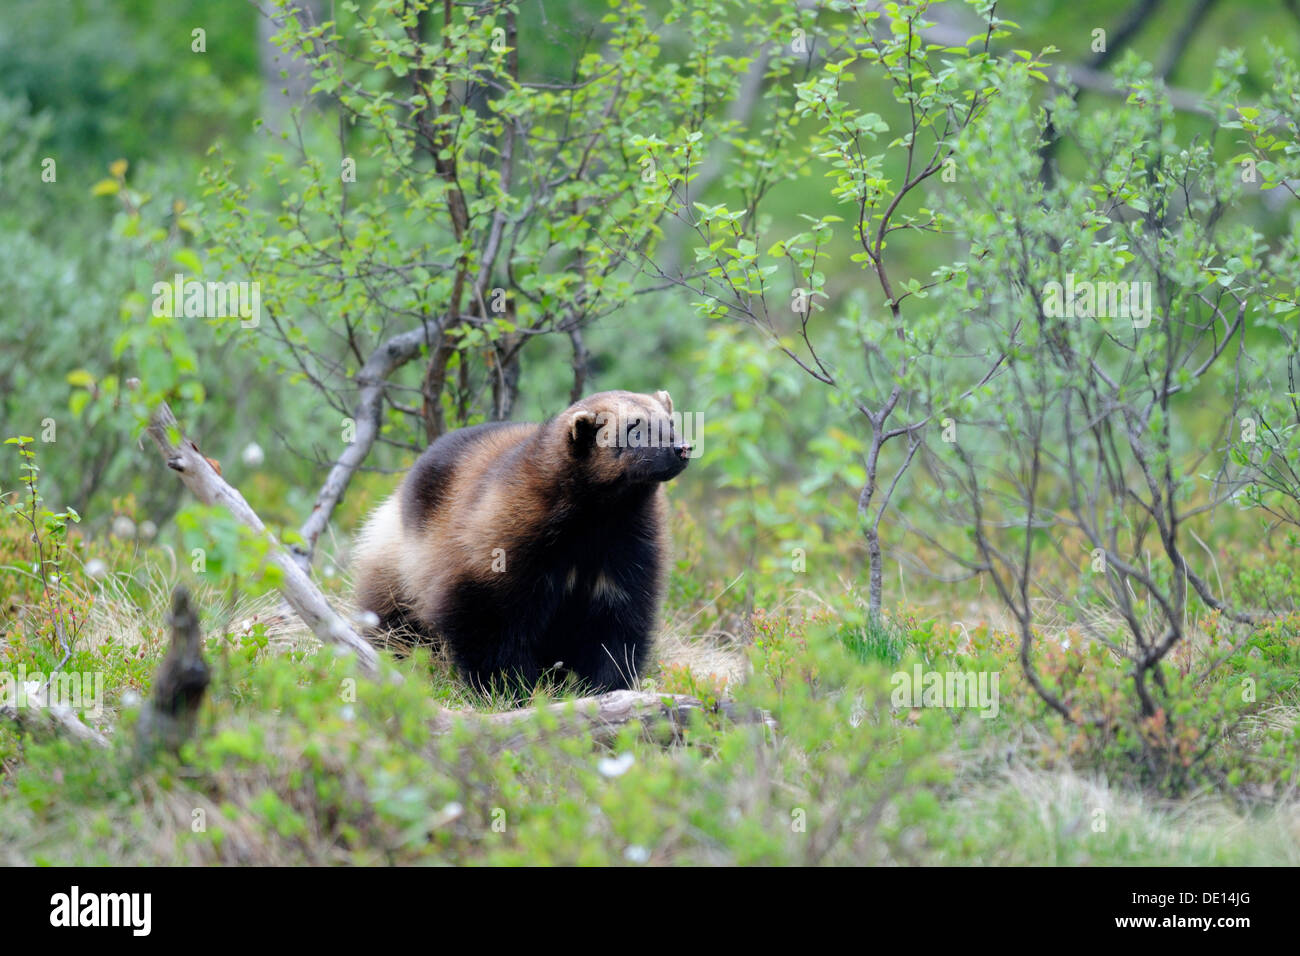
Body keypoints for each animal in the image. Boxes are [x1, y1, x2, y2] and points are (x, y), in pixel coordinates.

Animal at [351, 389, 692, 694]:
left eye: (670, 422)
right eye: (635, 428)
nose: (682, 447)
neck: (594, 520)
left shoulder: (627, 552)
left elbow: (617, 629)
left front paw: (603, 688)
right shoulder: (496, 549)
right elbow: (487, 628)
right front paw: (511, 689)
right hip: (395, 564)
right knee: (395, 624)